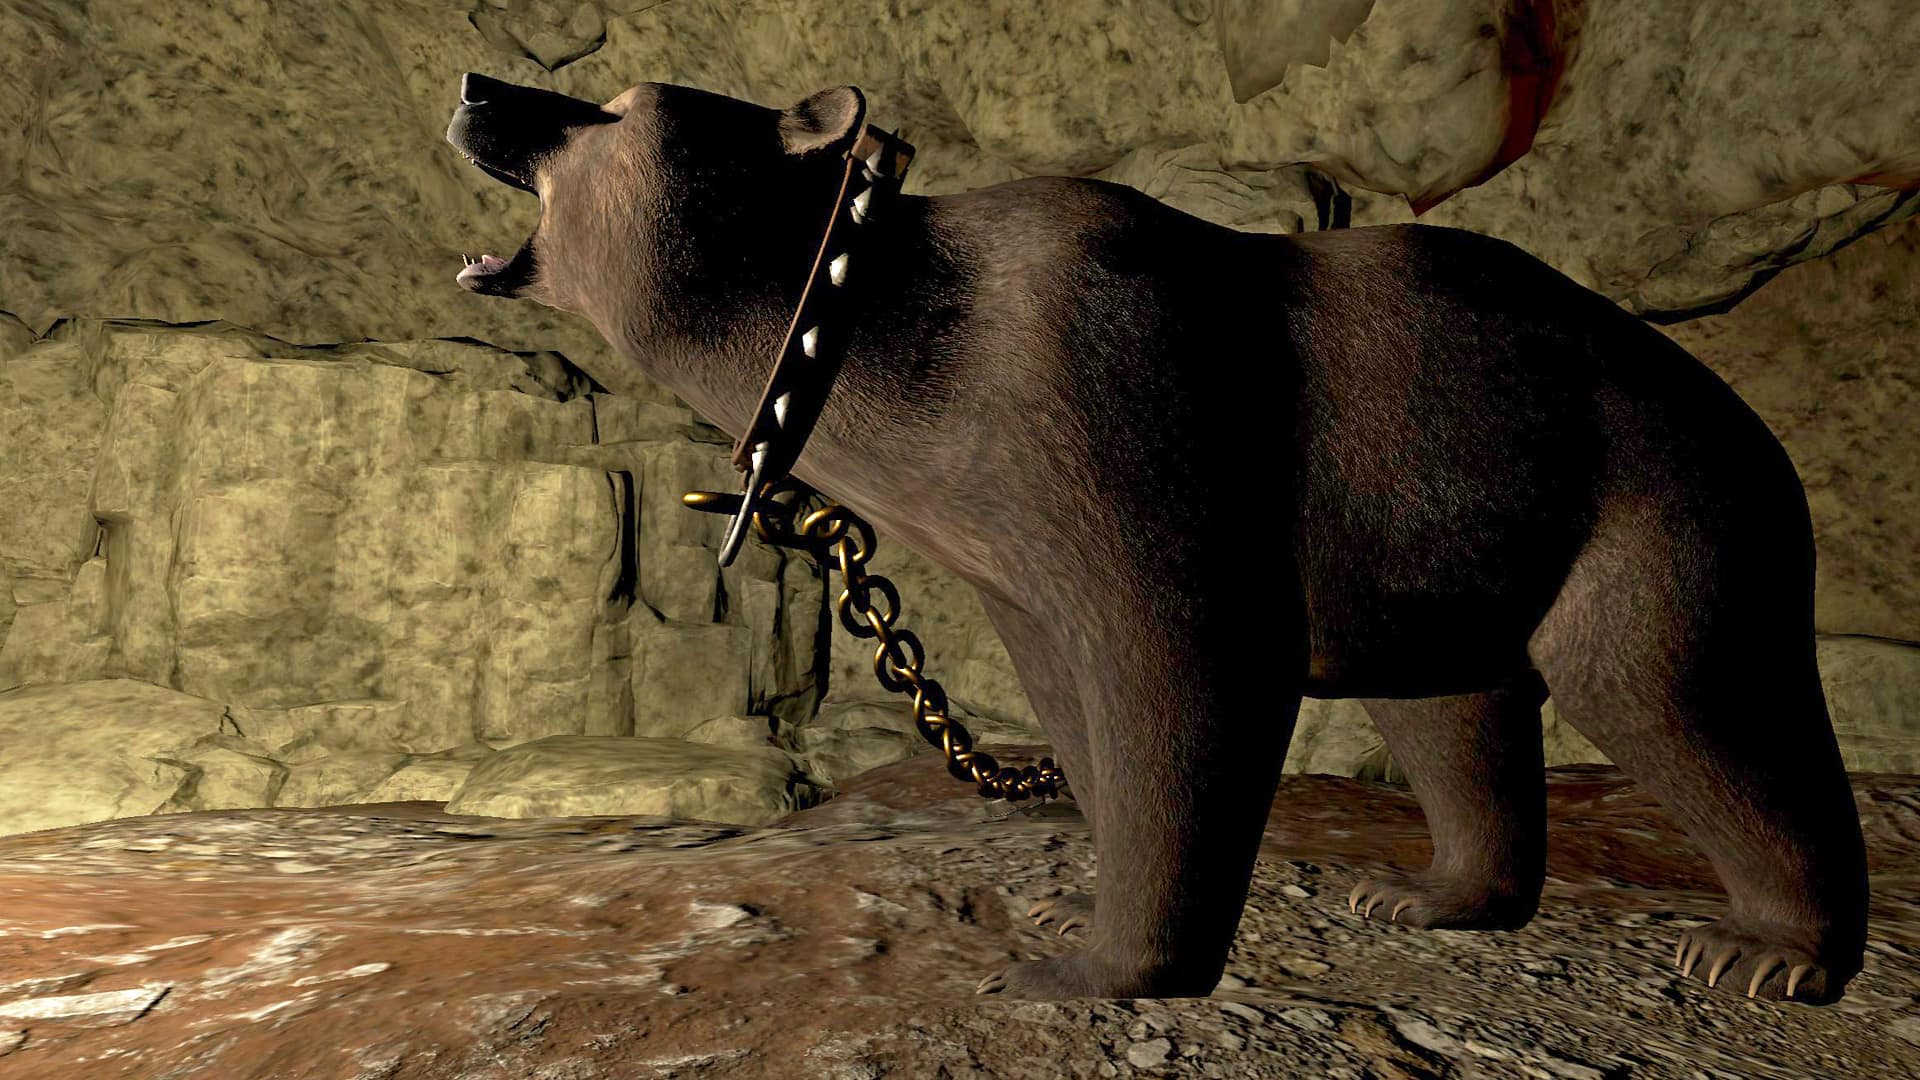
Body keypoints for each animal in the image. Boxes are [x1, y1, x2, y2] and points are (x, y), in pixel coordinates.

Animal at [445, 71, 1869, 1004]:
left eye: (612, 105)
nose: (476, 84)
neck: (869, 337)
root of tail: (1747, 421)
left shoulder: (1106, 410)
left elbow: (1183, 679)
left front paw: (1090, 967)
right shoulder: (1008, 551)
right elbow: (1079, 707)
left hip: (1648, 497)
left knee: (1684, 696)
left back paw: (1766, 952)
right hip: (1442, 531)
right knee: (1450, 704)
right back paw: (1432, 895)